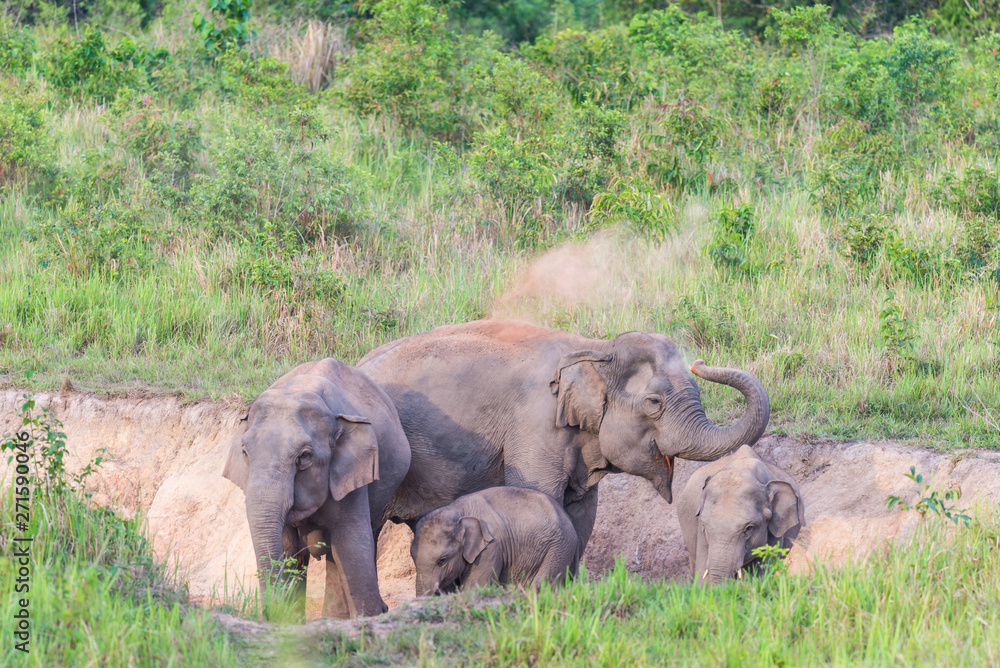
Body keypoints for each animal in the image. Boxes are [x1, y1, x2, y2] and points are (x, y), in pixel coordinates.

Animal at [222, 357, 411, 618]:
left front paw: (367, 618)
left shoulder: (350, 478)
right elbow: (287, 547)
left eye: (304, 457)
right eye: (244, 451)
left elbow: (351, 544)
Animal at [358, 319, 770, 559]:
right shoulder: (534, 425)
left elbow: (583, 514)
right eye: (654, 403)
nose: (698, 362)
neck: (596, 348)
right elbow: (539, 497)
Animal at [411, 486, 579, 596]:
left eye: (442, 560)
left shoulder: (491, 548)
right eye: (412, 557)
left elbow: (475, 587)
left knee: (541, 584)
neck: (458, 511)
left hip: (560, 548)